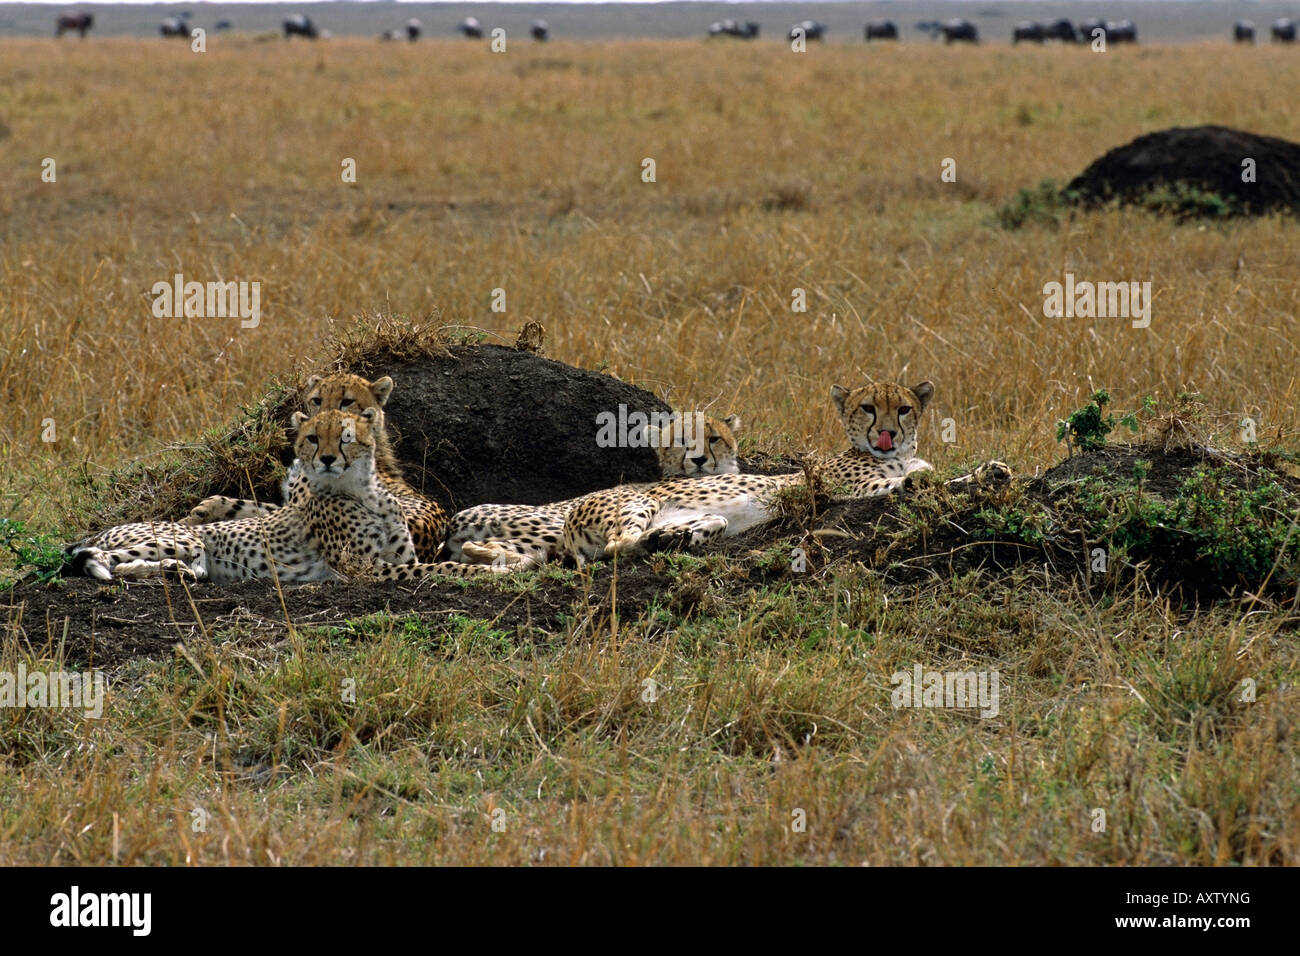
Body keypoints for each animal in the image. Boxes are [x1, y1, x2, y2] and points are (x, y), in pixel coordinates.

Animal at [66, 408, 506, 584]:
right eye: (312, 437)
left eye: (346, 437)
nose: (326, 459)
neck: (364, 493)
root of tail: (104, 529)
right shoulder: (363, 569)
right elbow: (442, 568)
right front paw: (491, 571)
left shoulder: (399, 559)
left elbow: (433, 565)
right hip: (185, 538)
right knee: (102, 559)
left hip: (192, 552)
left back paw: (179, 573)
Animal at [180, 372, 449, 560]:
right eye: (317, 400)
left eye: (347, 401)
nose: (325, 421)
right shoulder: (291, 503)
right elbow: (249, 505)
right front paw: (204, 509)